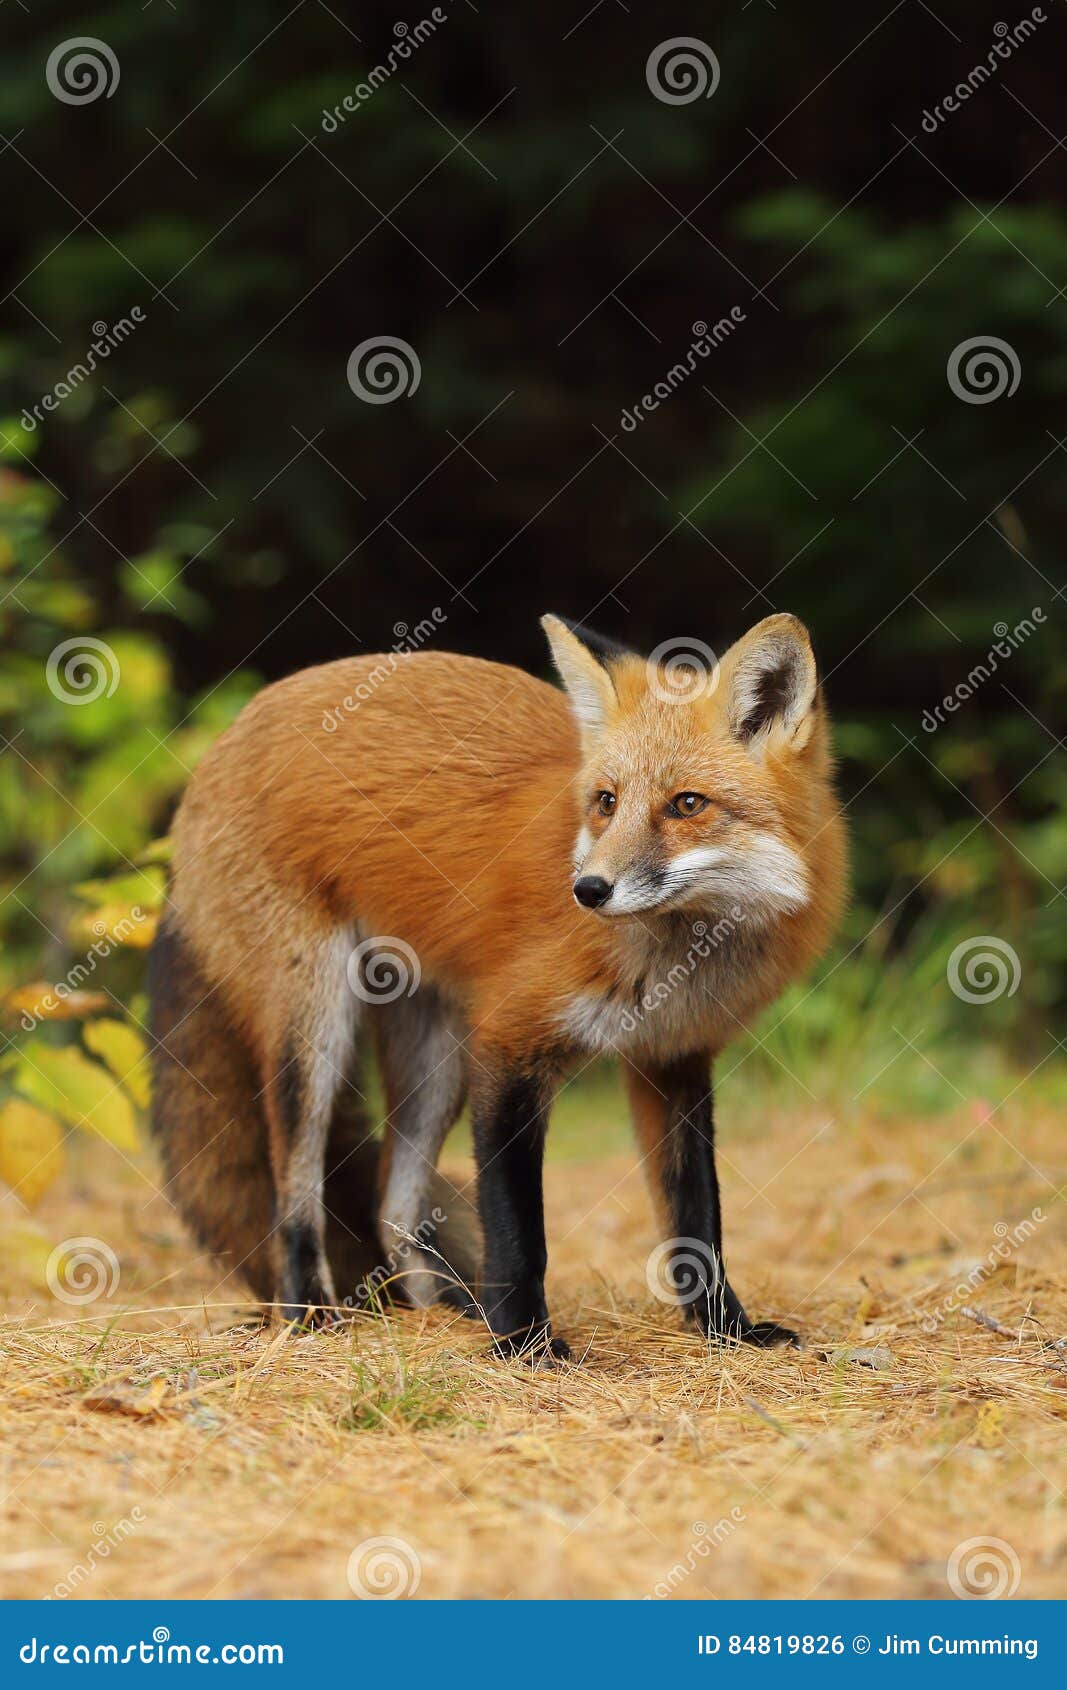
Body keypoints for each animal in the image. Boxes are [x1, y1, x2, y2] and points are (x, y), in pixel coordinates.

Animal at [148, 611, 846, 1360]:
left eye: (687, 804)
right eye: (606, 802)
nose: (587, 890)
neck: (675, 961)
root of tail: (227, 736)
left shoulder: (672, 1058)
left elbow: (697, 1219)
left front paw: (728, 1331)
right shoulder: (508, 1044)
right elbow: (517, 1229)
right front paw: (524, 1345)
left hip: (435, 1056)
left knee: (391, 1207)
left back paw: (444, 1313)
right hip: (317, 1032)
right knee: (296, 1192)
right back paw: (310, 1312)